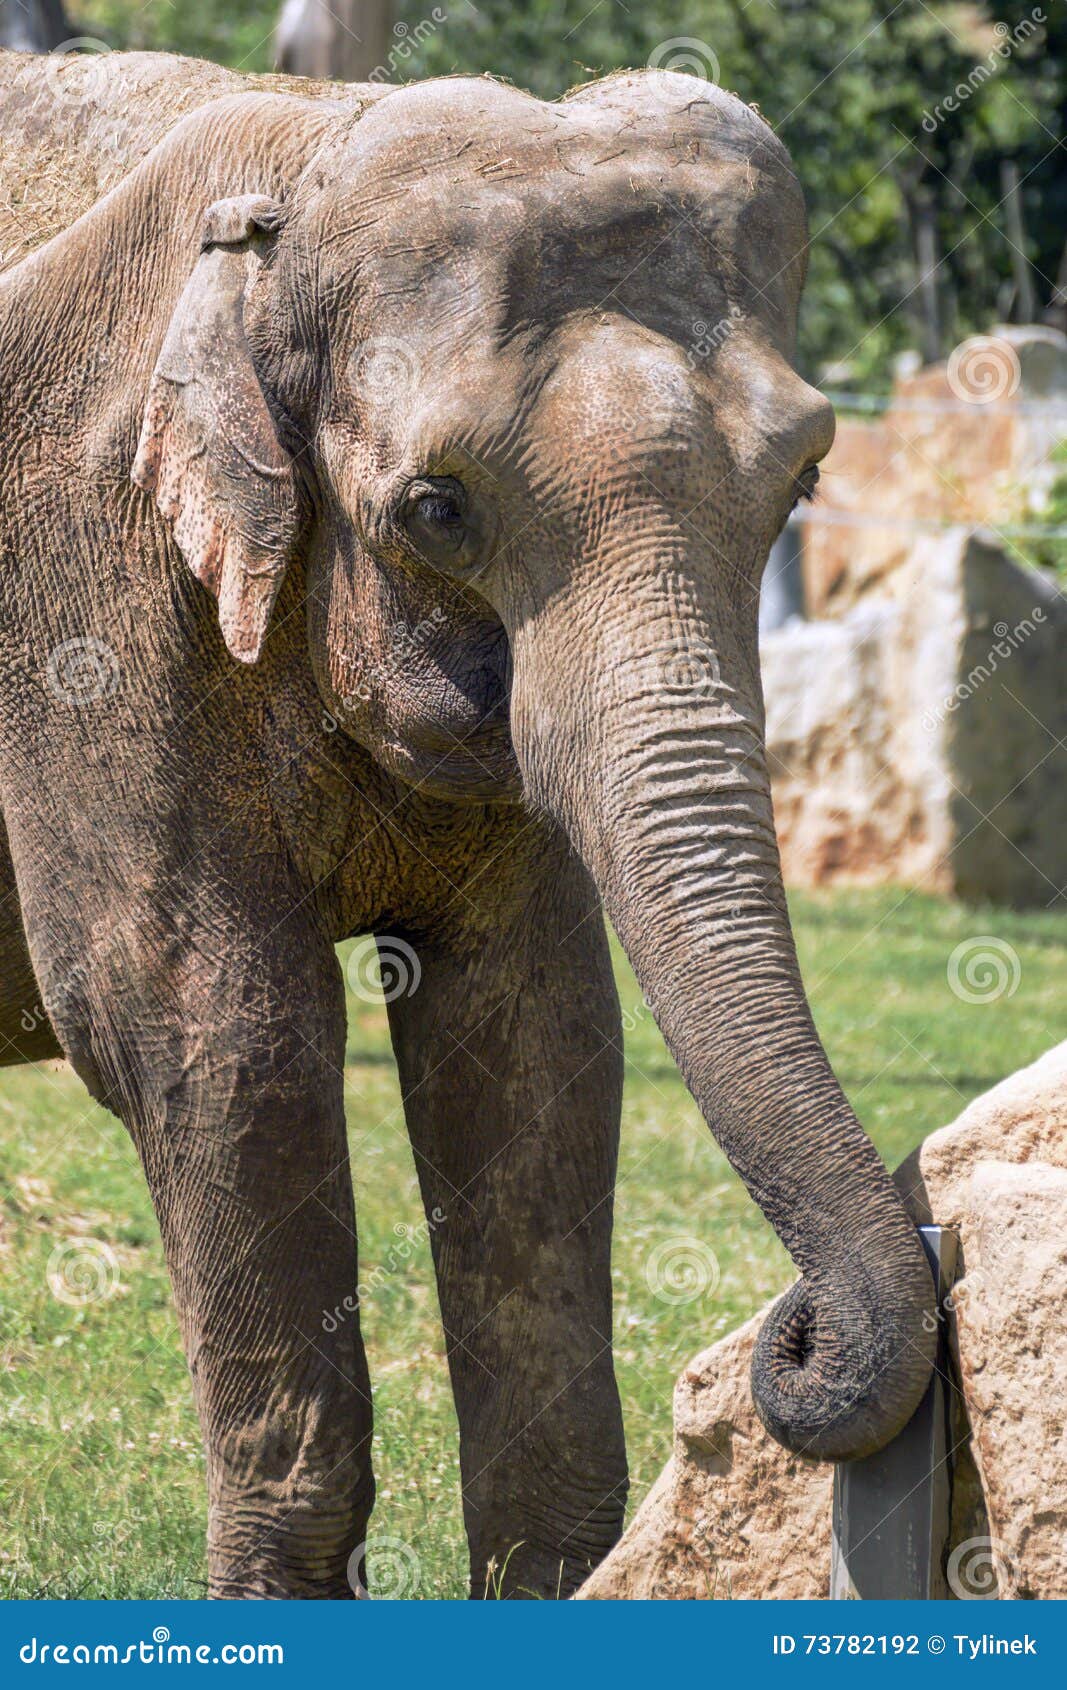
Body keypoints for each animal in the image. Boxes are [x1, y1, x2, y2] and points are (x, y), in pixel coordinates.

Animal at [0, 49, 936, 1599]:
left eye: (800, 479)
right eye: (435, 508)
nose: (791, 1337)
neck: (299, 161)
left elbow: (529, 1027)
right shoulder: (83, 606)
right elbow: (211, 1032)